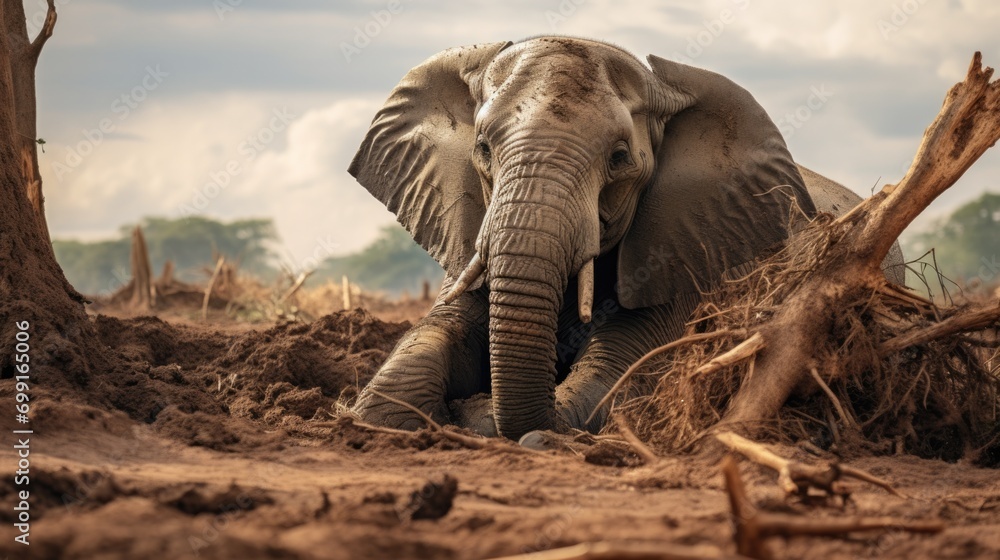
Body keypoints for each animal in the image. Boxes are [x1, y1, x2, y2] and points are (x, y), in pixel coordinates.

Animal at [347, 36, 905, 441]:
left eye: (618, 159)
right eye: (482, 148)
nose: (475, 408)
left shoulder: (688, 249)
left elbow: (615, 369)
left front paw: (483, 419)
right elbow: (432, 337)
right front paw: (392, 418)